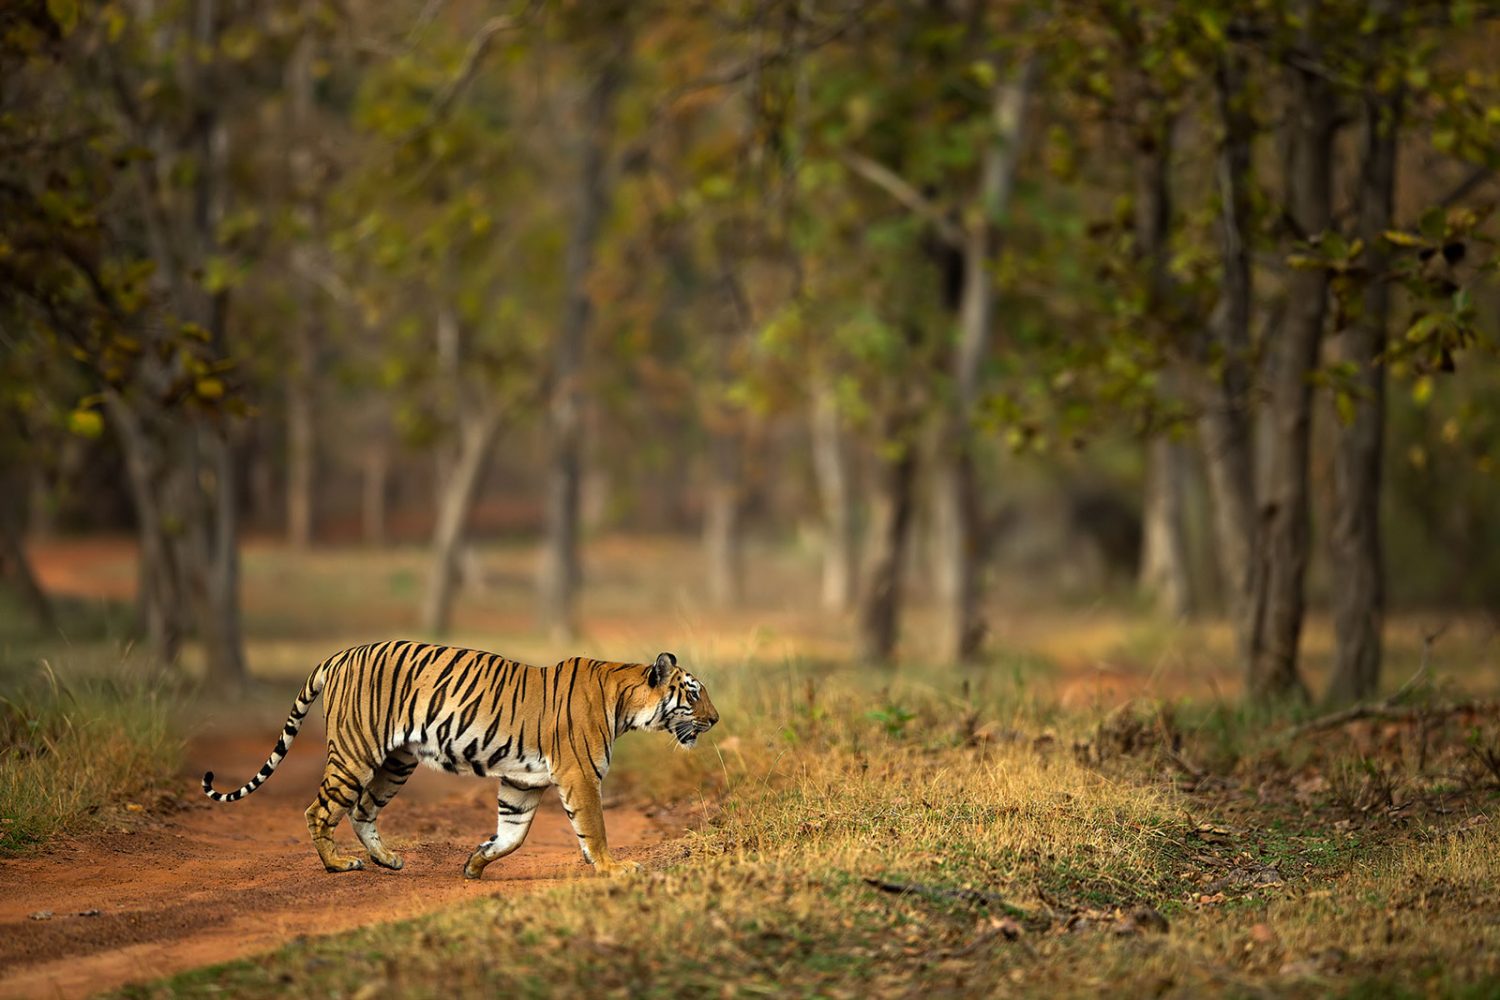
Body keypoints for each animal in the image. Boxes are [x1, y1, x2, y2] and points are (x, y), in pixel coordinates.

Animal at [201, 642, 717, 879]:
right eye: (693, 695)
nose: (715, 719)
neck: (624, 702)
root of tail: (340, 654)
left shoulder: (522, 783)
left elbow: (512, 834)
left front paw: (475, 863)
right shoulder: (580, 777)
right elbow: (594, 828)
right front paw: (613, 868)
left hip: (396, 763)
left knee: (362, 810)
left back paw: (387, 859)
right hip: (354, 752)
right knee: (319, 809)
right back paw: (338, 864)